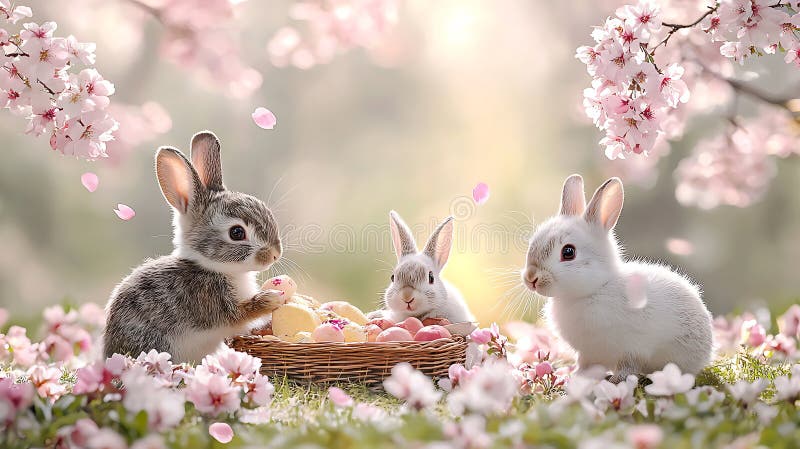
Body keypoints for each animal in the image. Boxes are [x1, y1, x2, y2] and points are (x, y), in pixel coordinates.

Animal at [103, 131, 286, 363]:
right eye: (237, 233)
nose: (275, 255)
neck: (216, 268)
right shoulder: (211, 303)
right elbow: (240, 314)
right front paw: (270, 300)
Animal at [521, 174, 713, 382]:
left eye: (568, 252)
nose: (531, 278)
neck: (596, 288)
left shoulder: (633, 347)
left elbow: (628, 365)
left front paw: (616, 380)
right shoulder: (588, 353)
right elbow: (584, 364)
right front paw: (575, 375)